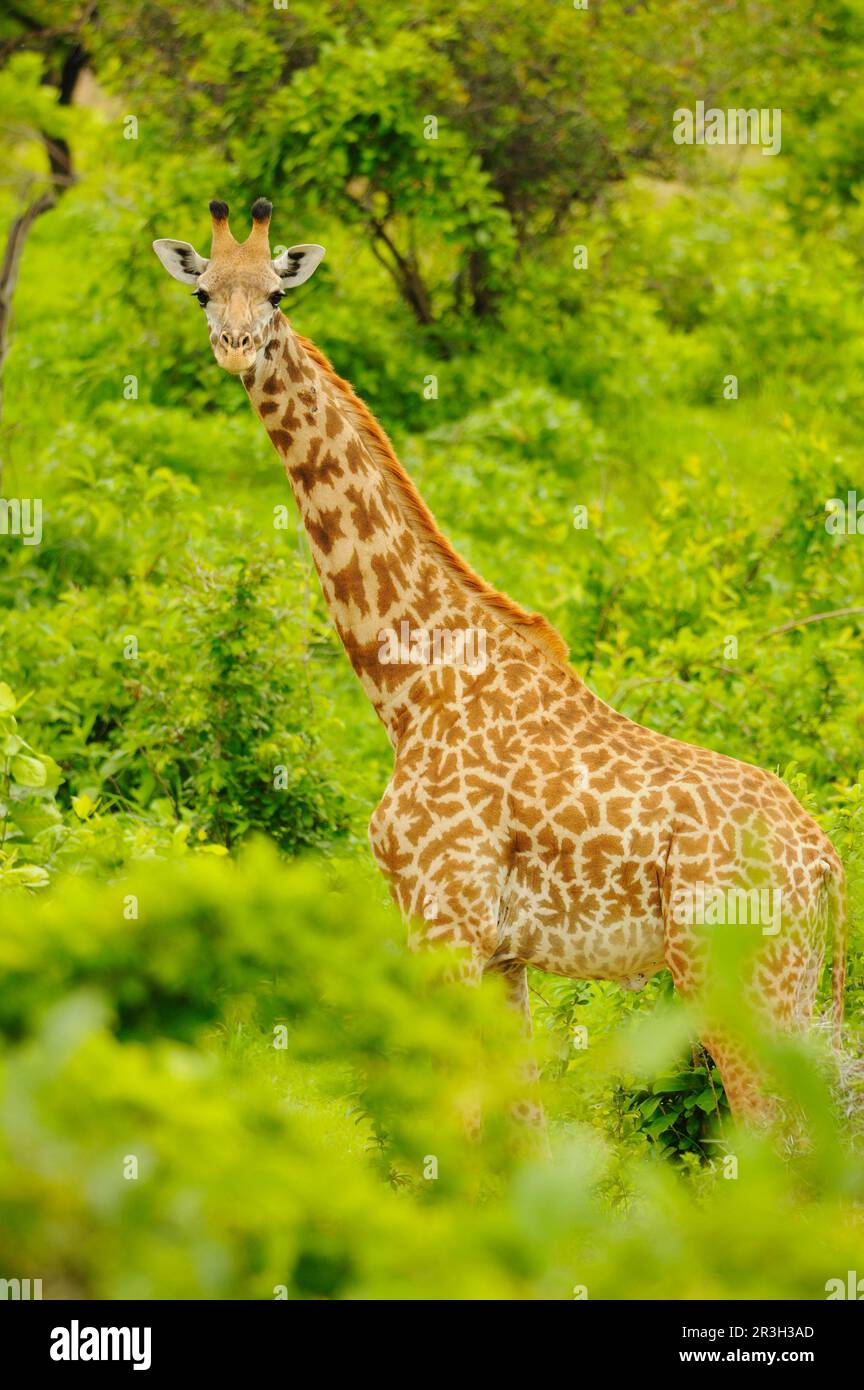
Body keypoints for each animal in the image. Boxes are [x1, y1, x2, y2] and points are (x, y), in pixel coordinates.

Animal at [154, 199, 848, 1124]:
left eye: (276, 294)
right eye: (202, 293)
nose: (234, 347)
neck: (411, 682)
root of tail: (827, 867)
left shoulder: (442, 918)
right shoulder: (502, 951)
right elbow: (520, 1118)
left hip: (735, 977)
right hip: (793, 988)